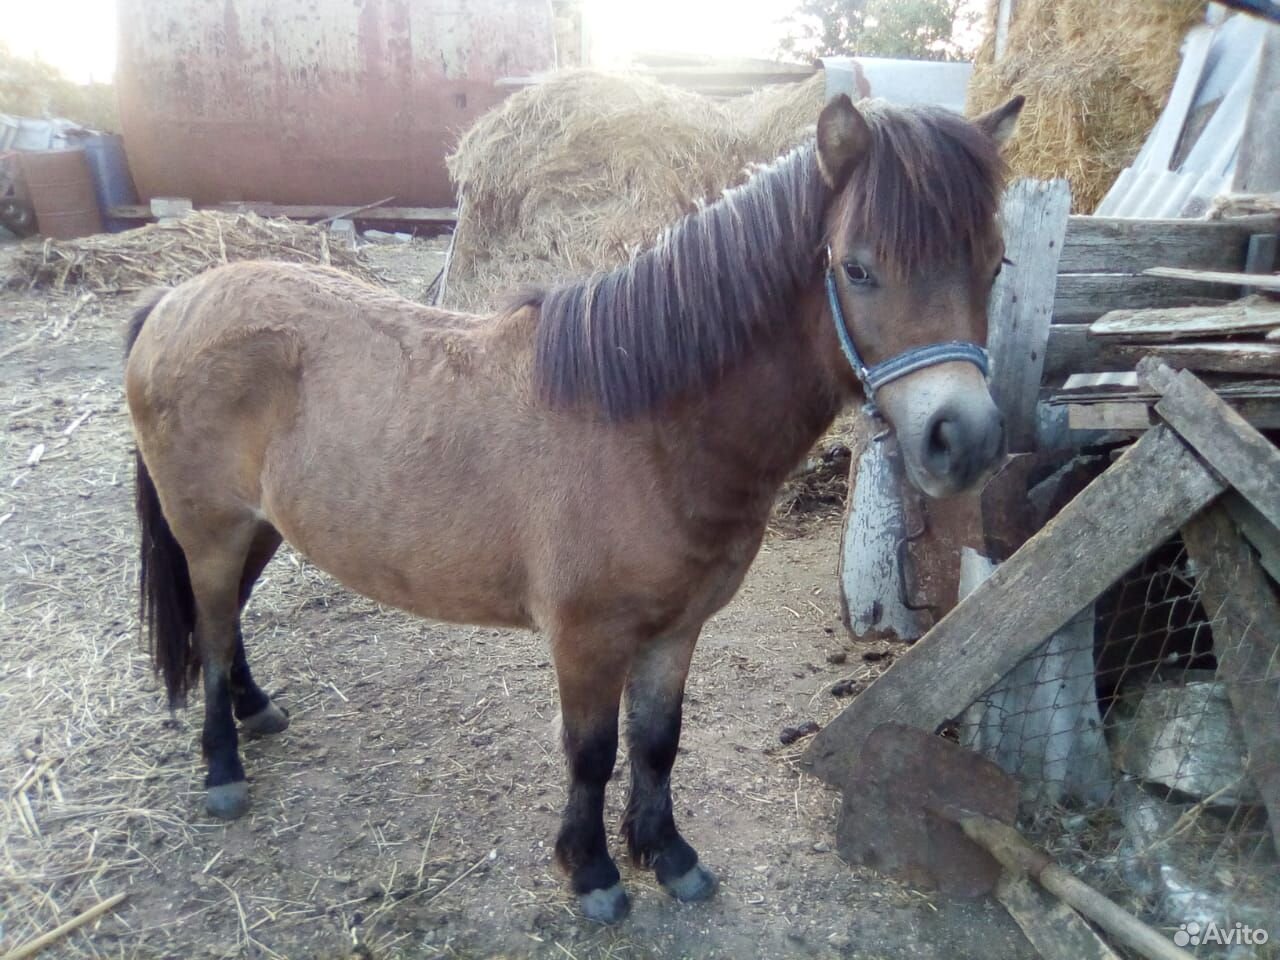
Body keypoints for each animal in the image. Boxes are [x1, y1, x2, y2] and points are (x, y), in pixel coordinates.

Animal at [124, 92, 1023, 923]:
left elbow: (657, 742)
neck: (646, 427)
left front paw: (668, 855)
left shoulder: (676, 630)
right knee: (212, 626)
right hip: (208, 530)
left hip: (260, 528)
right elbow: (590, 754)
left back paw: (255, 711)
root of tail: (174, 299)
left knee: (227, 621)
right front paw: (592, 872)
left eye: (996, 264)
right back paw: (222, 767)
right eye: (859, 267)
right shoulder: (588, 640)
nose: (963, 439)